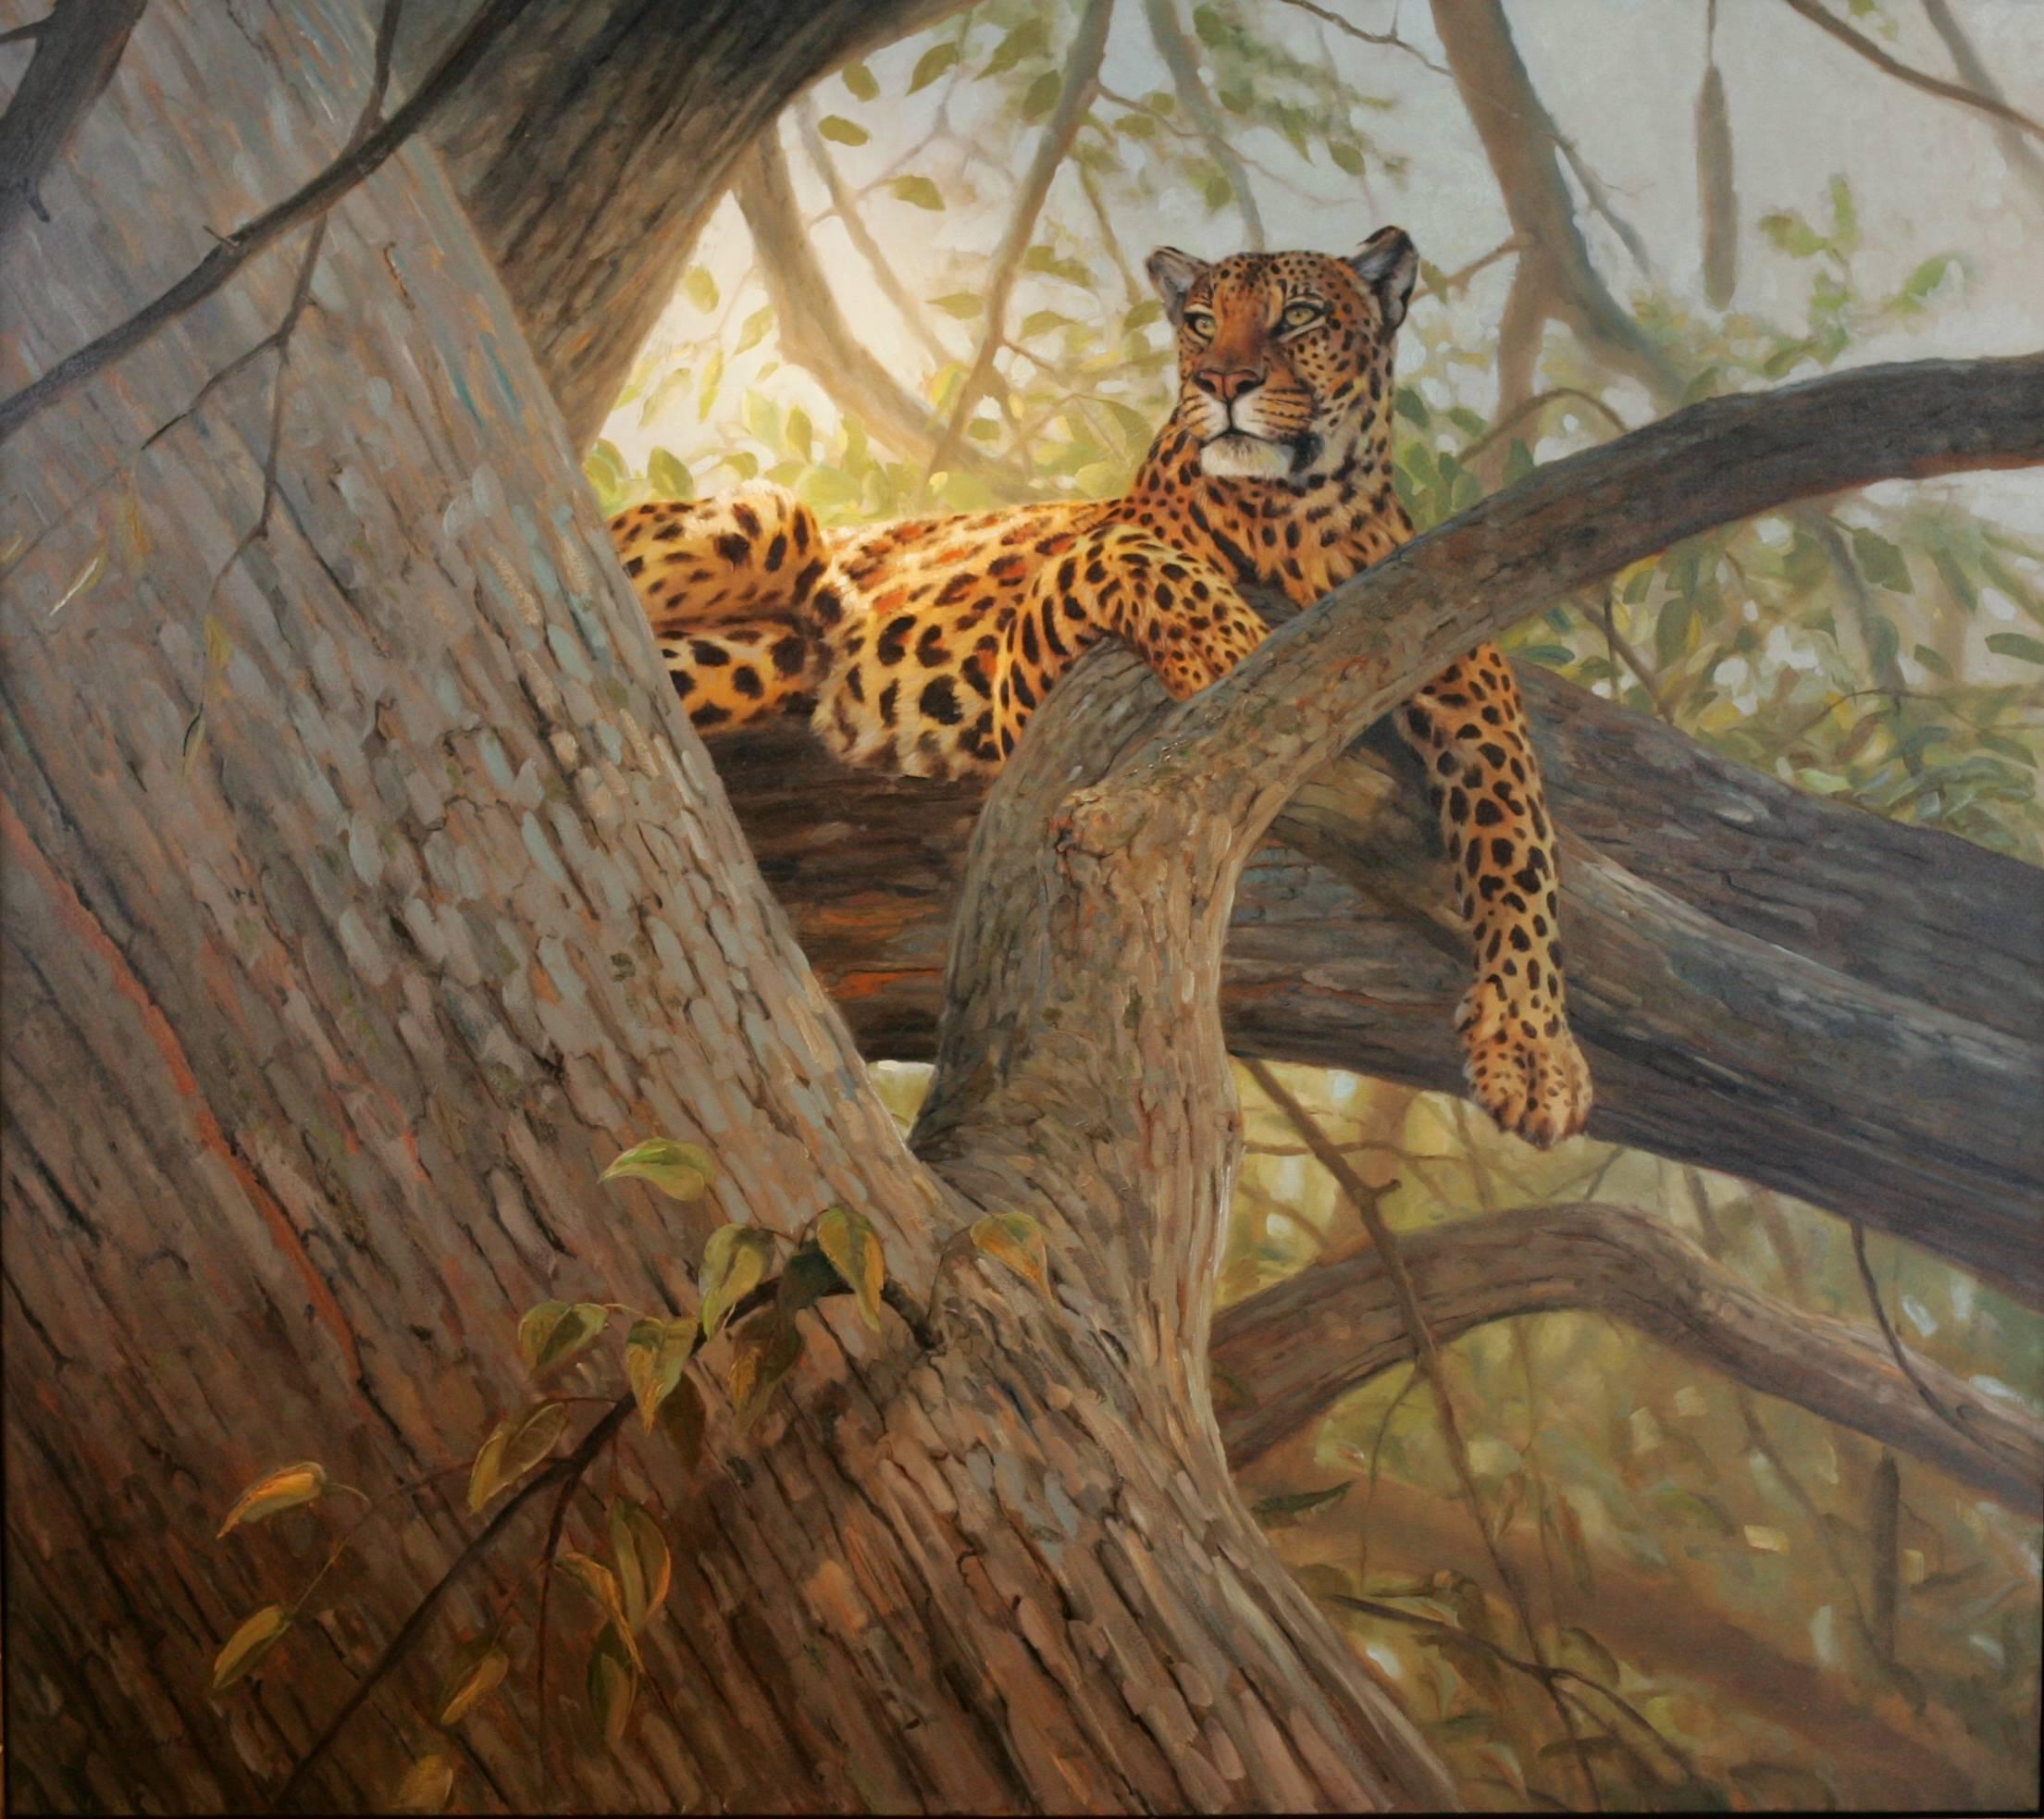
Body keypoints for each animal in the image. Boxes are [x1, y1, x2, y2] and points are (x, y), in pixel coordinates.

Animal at [608, 227, 1593, 1148]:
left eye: (1299, 317)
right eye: (1200, 322)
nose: (1223, 381)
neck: (1305, 515)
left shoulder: (1471, 688)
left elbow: (1521, 849)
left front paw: (1531, 1050)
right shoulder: (1029, 671)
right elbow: (1131, 553)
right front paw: (1229, 647)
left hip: (747, 657)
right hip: (765, 524)